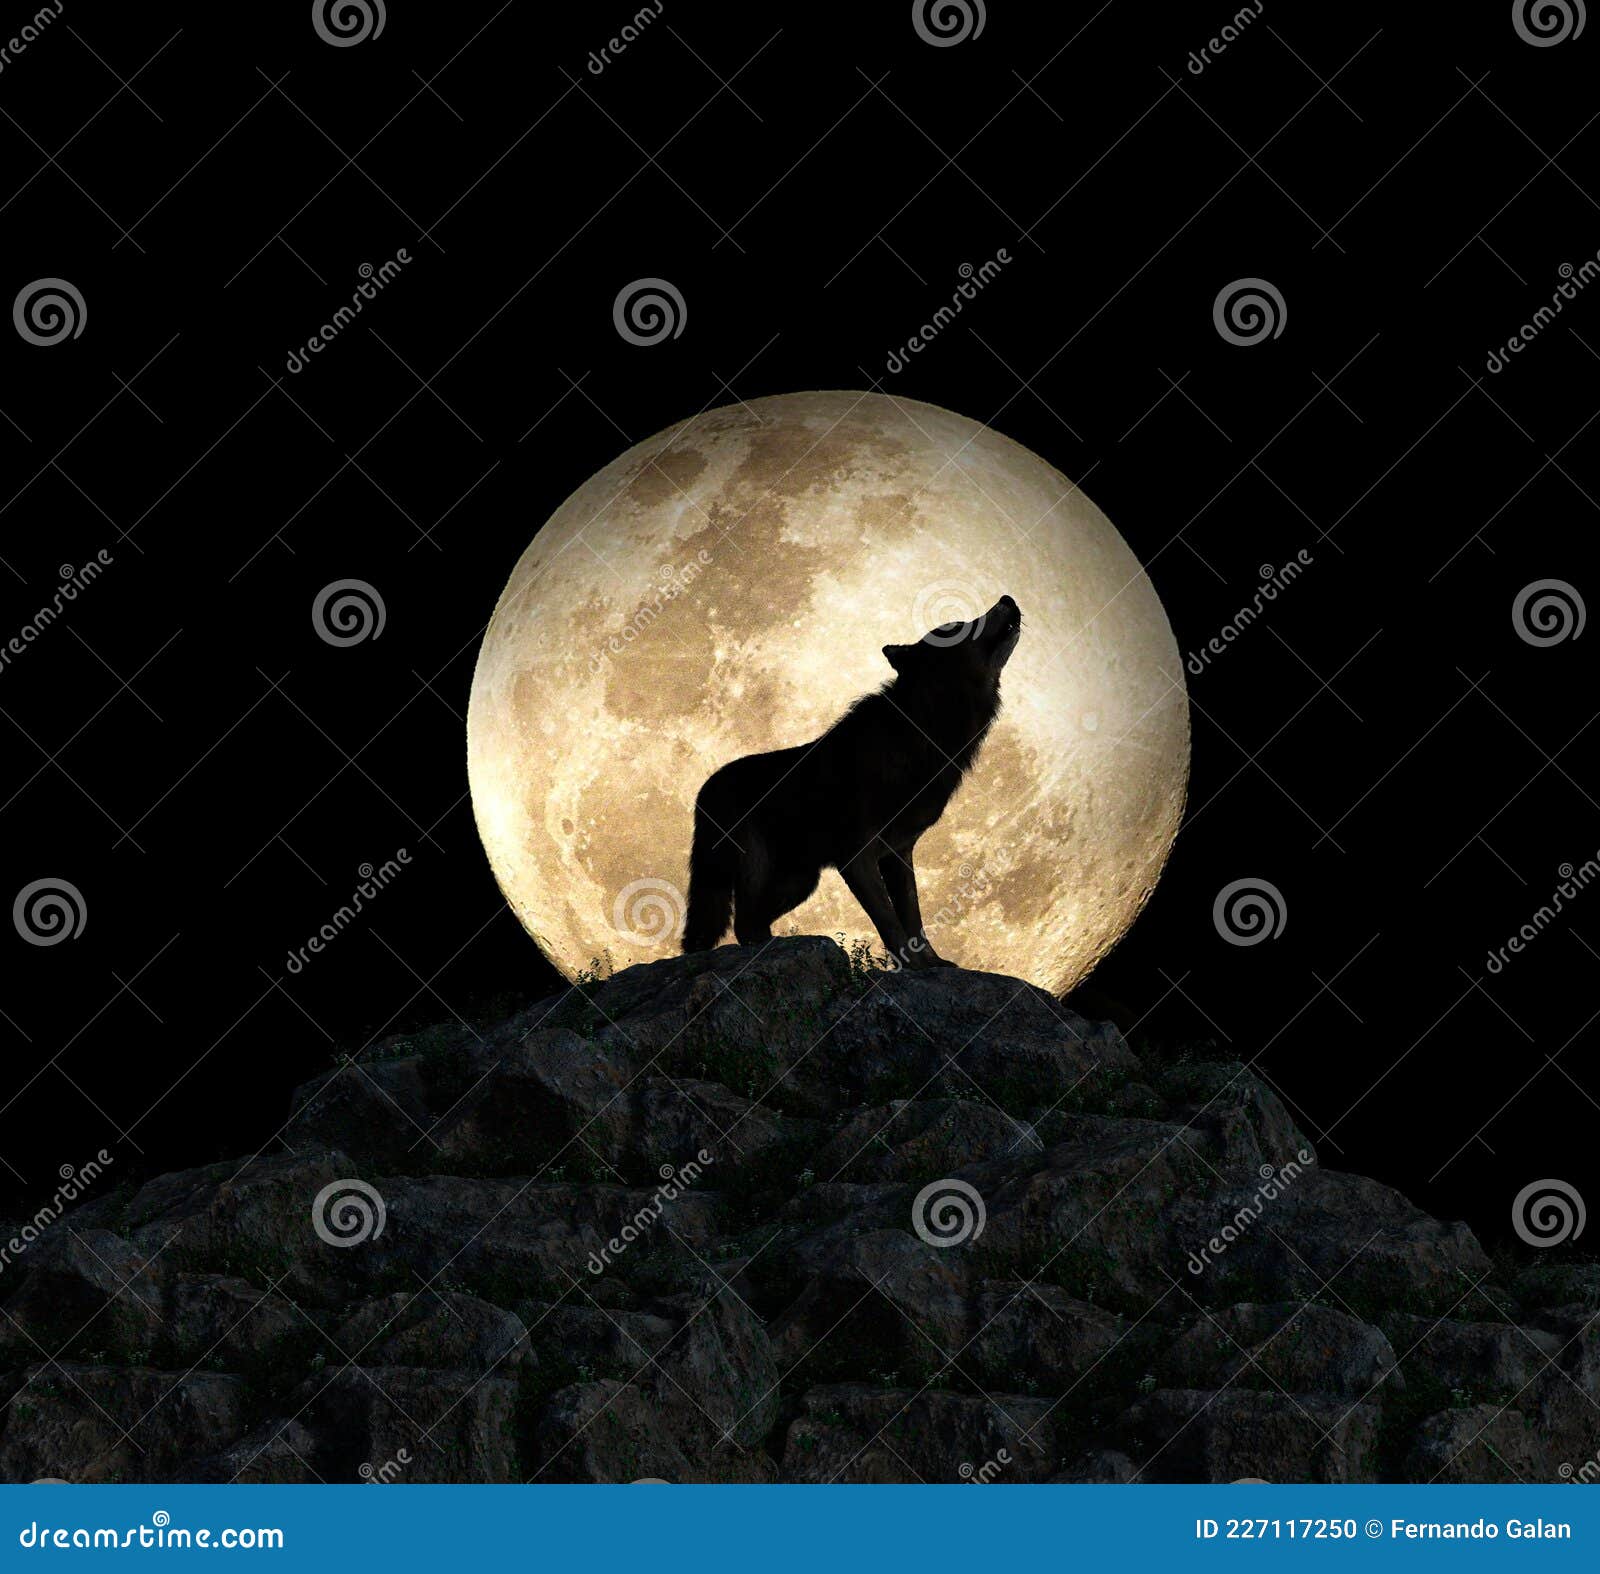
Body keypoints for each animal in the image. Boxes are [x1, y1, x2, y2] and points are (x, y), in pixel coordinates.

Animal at [682, 595, 1021, 968]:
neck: (925, 729)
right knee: (742, 923)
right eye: (957, 626)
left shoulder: (899, 851)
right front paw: (910, 966)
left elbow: (913, 918)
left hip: (801, 882)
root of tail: (704, 791)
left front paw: (932, 963)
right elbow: (889, 921)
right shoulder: (857, 856)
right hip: (758, 871)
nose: (1007, 598)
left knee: (751, 923)